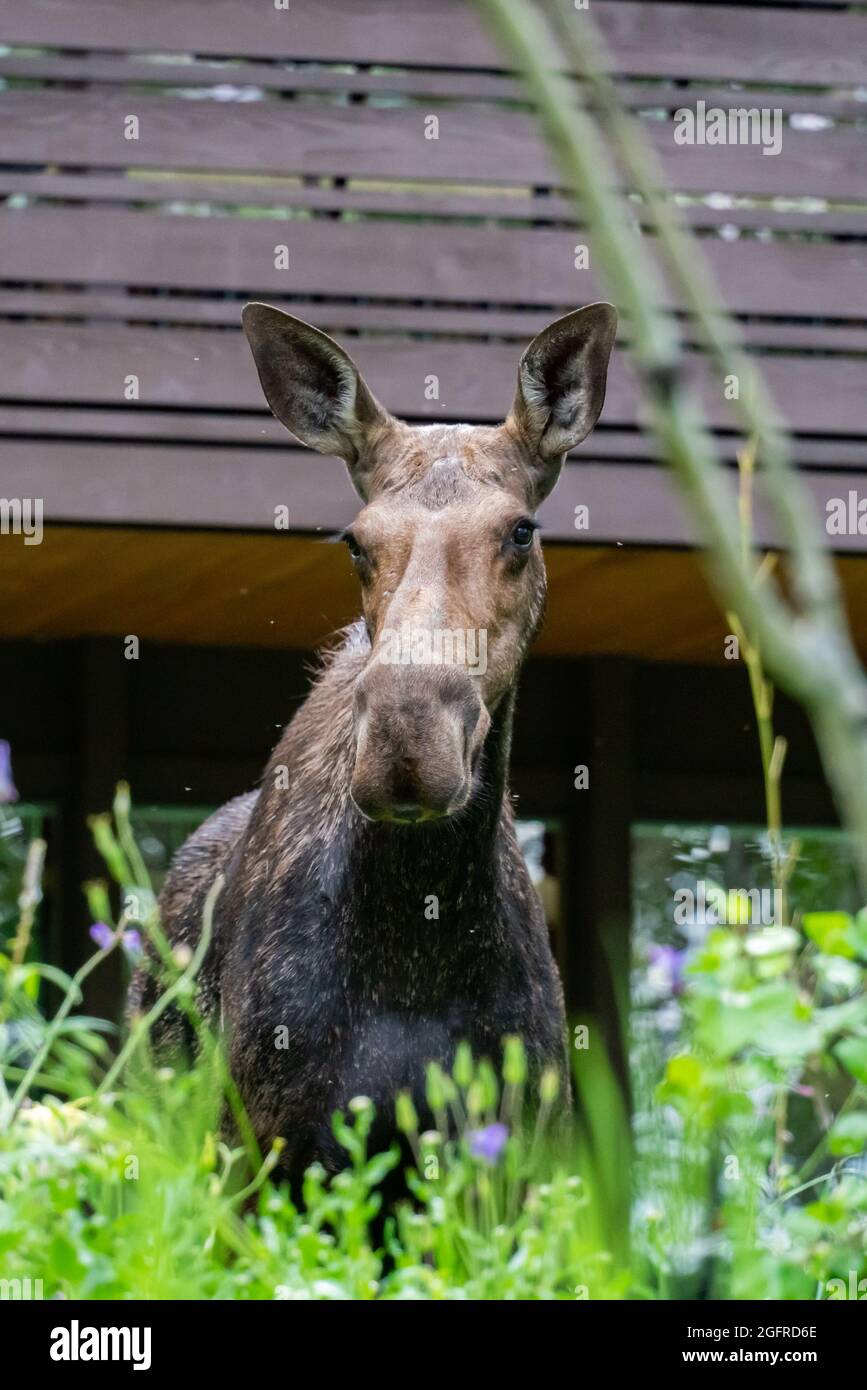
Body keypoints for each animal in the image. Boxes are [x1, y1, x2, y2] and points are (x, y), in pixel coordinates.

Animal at [129, 300, 617, 1181]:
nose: (407, 741)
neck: (418, 932)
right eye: (355, 539)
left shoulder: (515, 1154)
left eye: (520, 530)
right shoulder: (274, 1150)